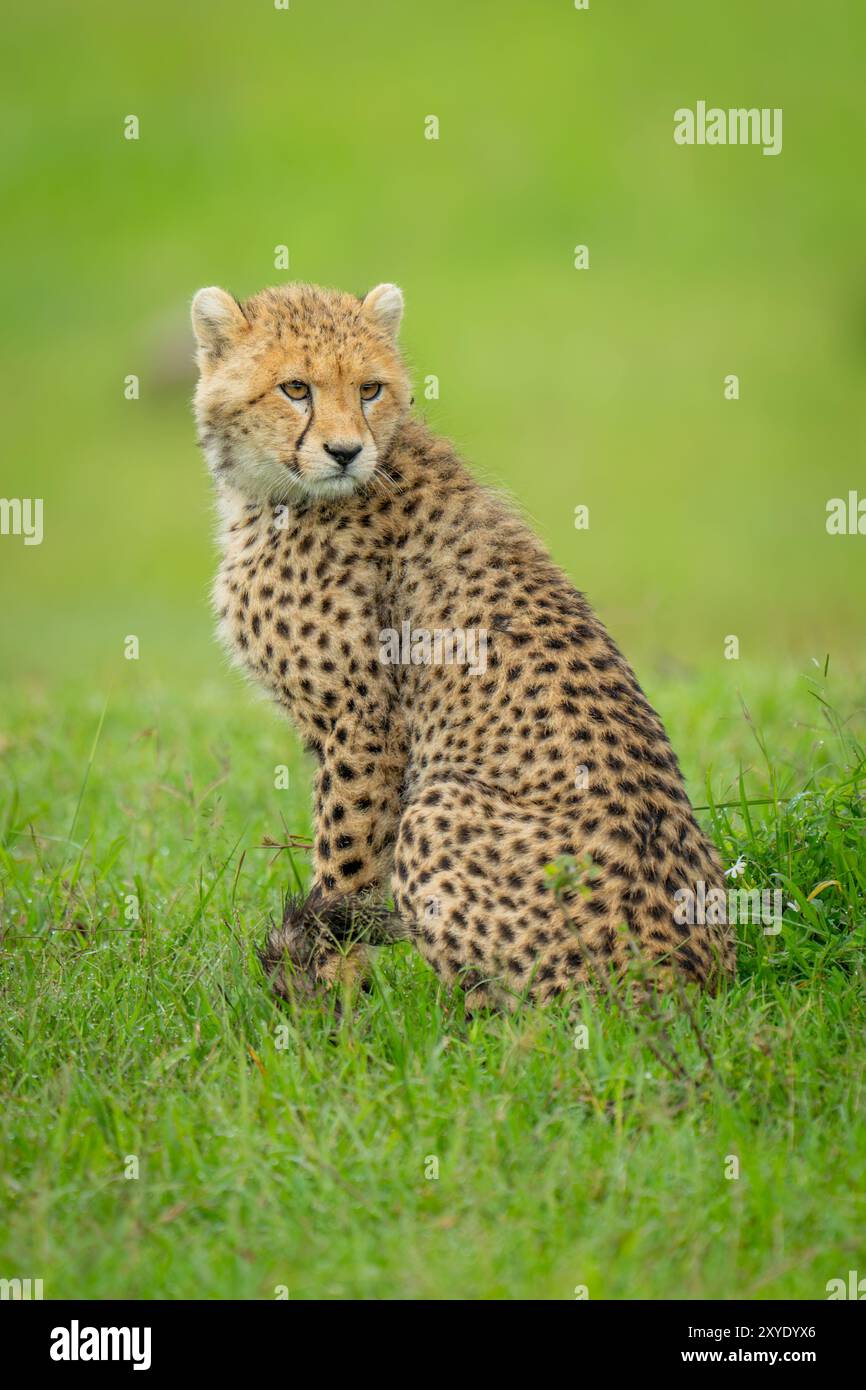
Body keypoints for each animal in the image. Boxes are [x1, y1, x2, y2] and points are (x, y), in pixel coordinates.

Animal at [191, 278, 736, 1012]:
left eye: (369, 389)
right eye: (295, 388)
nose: (345, 451)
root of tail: (702, 978)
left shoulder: (363, 723)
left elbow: (345, 862)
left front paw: (330, 996)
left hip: (439, 805)